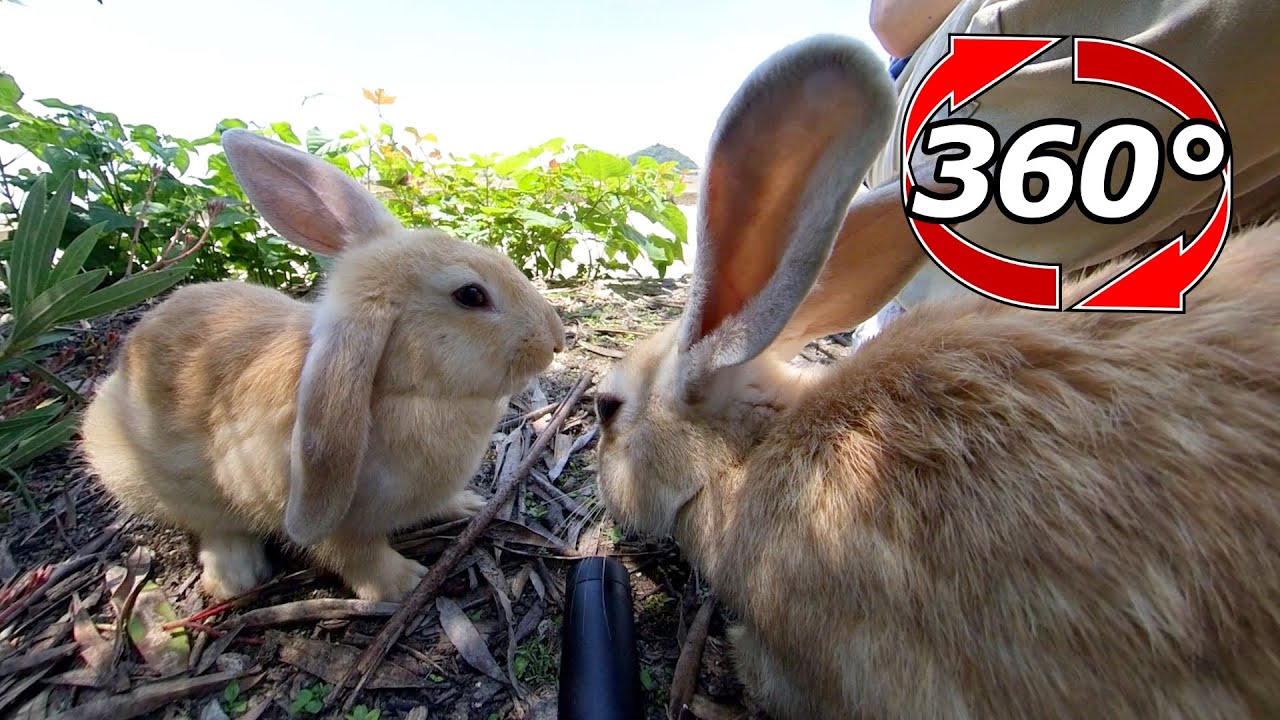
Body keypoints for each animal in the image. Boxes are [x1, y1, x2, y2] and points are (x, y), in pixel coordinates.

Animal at [80, 128, 566, 603]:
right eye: (470, 295)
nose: (556, 340)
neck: (412, 392)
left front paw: (466, 504)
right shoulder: (331, 522)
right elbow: (354, 553)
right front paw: (402, 582)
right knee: (210, 524)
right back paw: (236, 576)